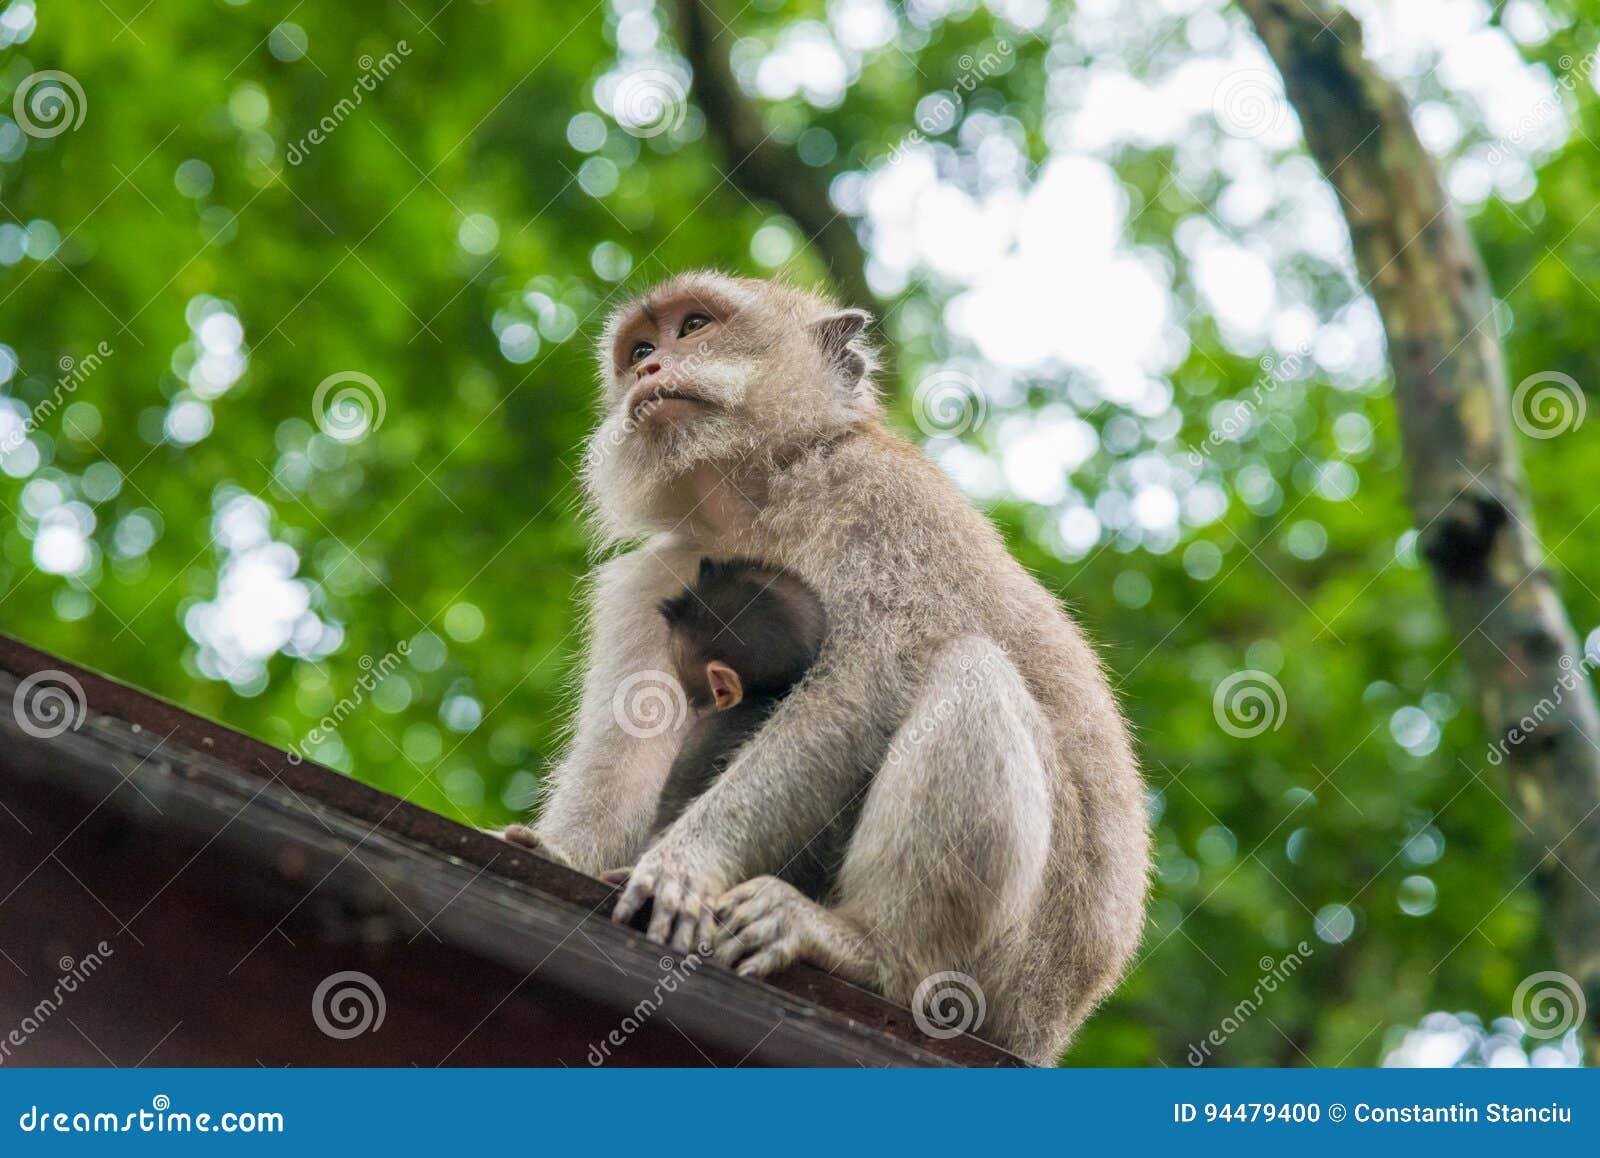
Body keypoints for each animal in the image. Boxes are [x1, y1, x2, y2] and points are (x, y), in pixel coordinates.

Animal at [516, 271, 1150, 1065]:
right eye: (637, 350)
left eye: (693, 326)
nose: (650, 369)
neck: (758, 494)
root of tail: (1052, 1025)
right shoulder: (655, 577)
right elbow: (629, 738)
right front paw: (561, 853)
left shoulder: (876, 502)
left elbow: (860, 688)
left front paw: (684, 864)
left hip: (1018, 965)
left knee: (970, 672)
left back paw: (869, 949)